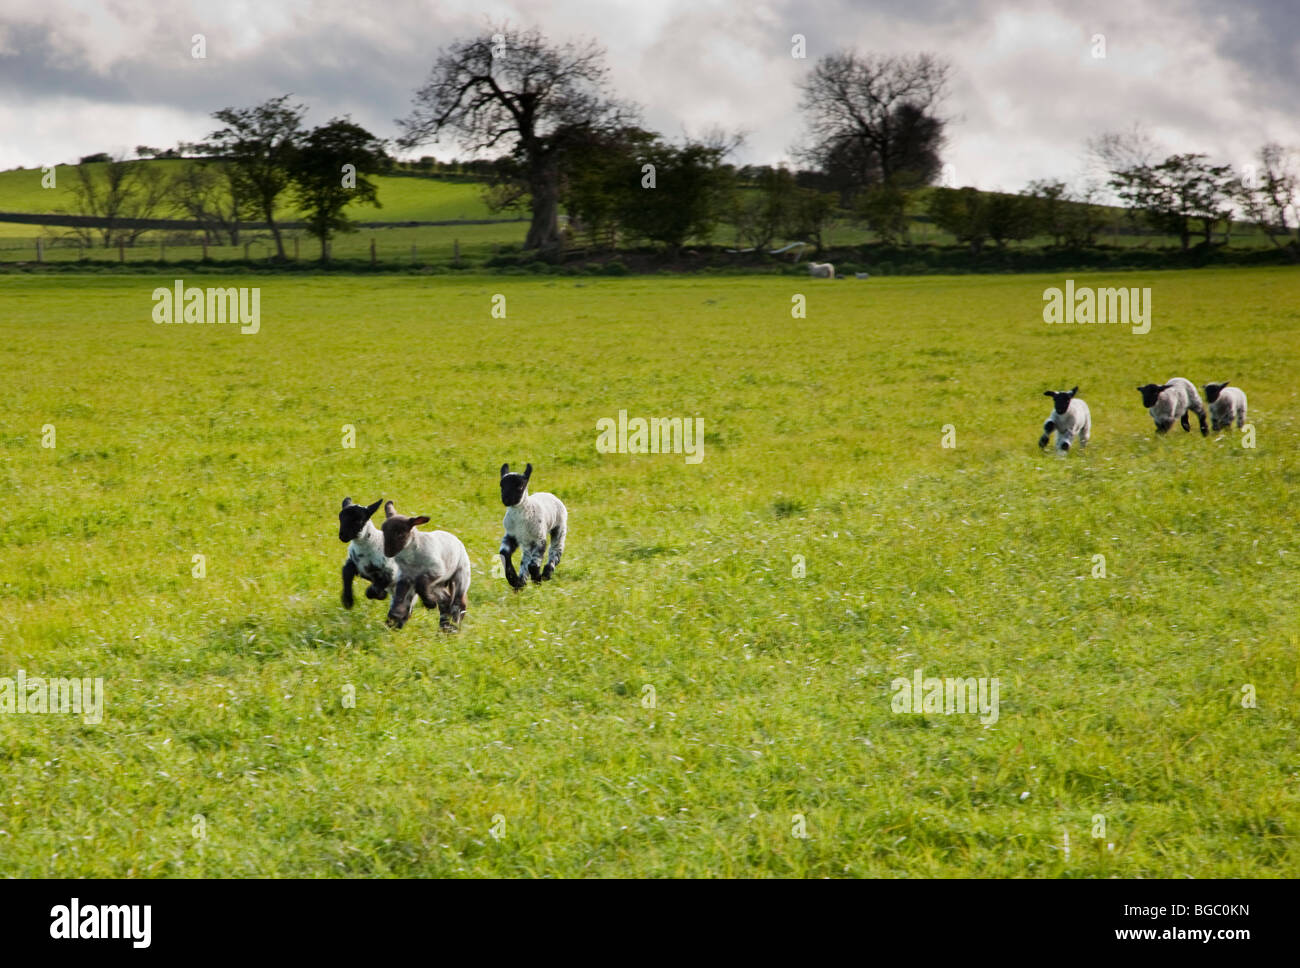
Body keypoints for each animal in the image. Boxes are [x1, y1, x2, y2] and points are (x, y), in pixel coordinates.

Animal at [379, 500, 471, 631]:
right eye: (383, 532)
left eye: (400, 534)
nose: (387, 553)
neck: (411, 558)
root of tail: (457, 540)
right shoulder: (405, 576)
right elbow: (401, 596)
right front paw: (395, 617)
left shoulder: (435, 570)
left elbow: (421, 583)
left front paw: (430, 604)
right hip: (437, 585)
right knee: (446, 600)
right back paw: (444, 627)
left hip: (461, 575)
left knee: (459, 602)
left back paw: (453, 627)